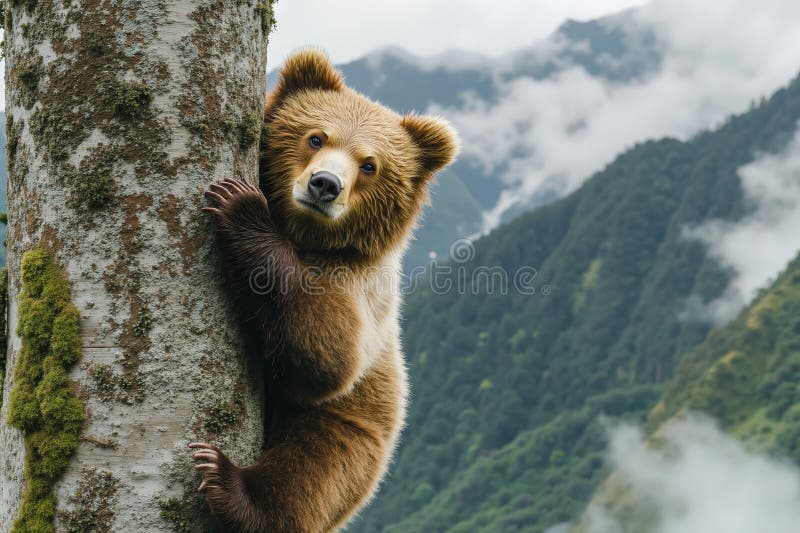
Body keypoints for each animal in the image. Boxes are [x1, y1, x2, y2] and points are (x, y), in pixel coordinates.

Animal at [190, 48, 458, 532]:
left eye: (369, 164)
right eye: (316, 137)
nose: (325, 184)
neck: (306, 237)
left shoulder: (360, 289)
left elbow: (329, 354)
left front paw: (240, 204)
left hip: (356, 431)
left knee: (312, 470)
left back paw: (229, 483)